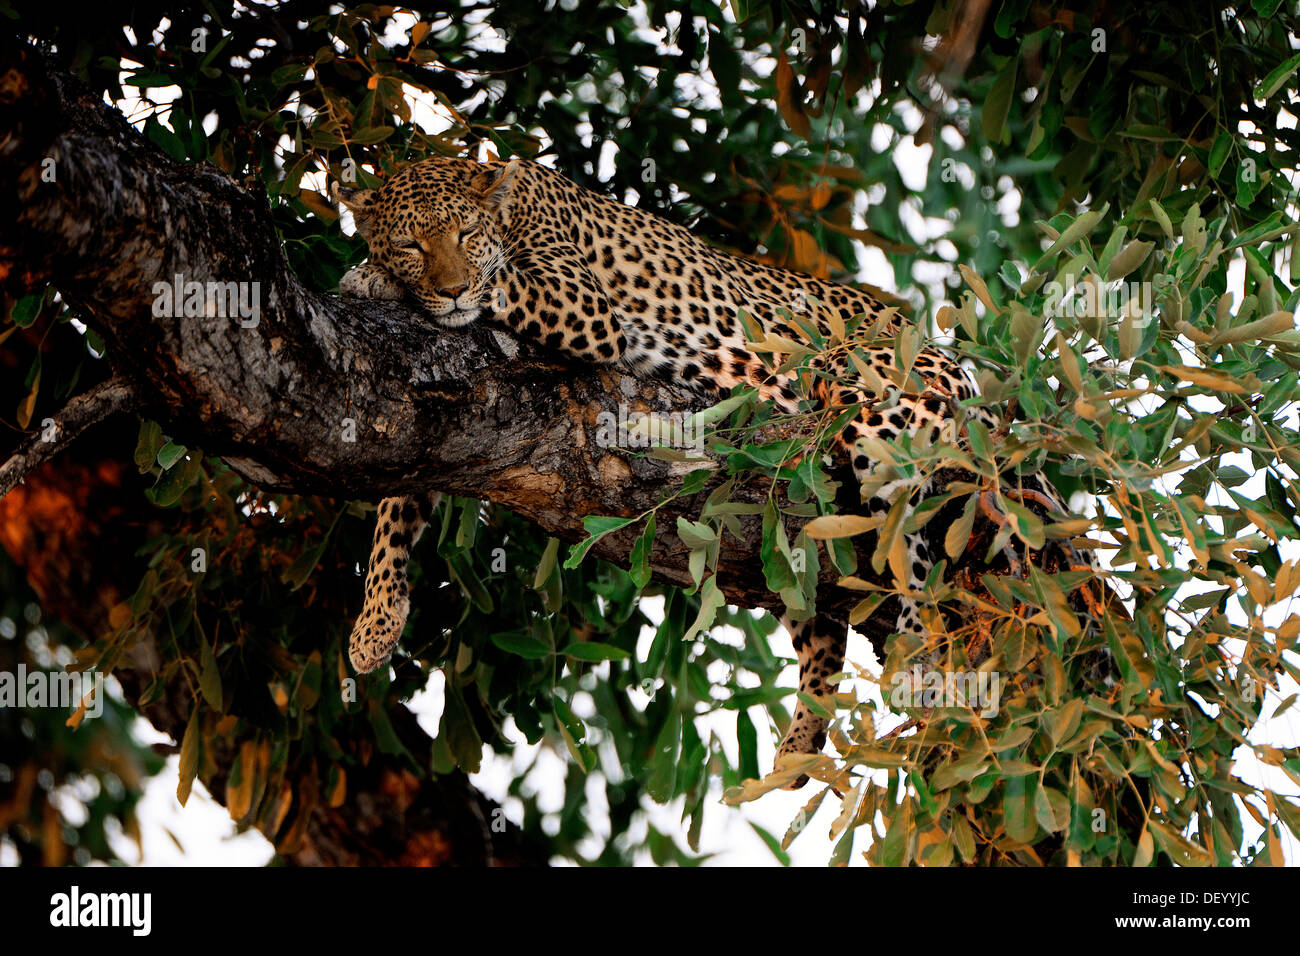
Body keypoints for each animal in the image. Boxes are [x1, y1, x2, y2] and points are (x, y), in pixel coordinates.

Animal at [333, 155, 999, 786]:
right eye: (412, 244)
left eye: (466, 233)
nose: (448, 290)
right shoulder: (437, 430)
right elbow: (396, 506)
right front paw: (374, 624)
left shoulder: (584, 305)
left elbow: (499, 283)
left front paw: (373, 278)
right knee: (819, 619)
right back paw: (799, 747)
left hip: (875, 410)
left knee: (910, 538)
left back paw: (918, 656)